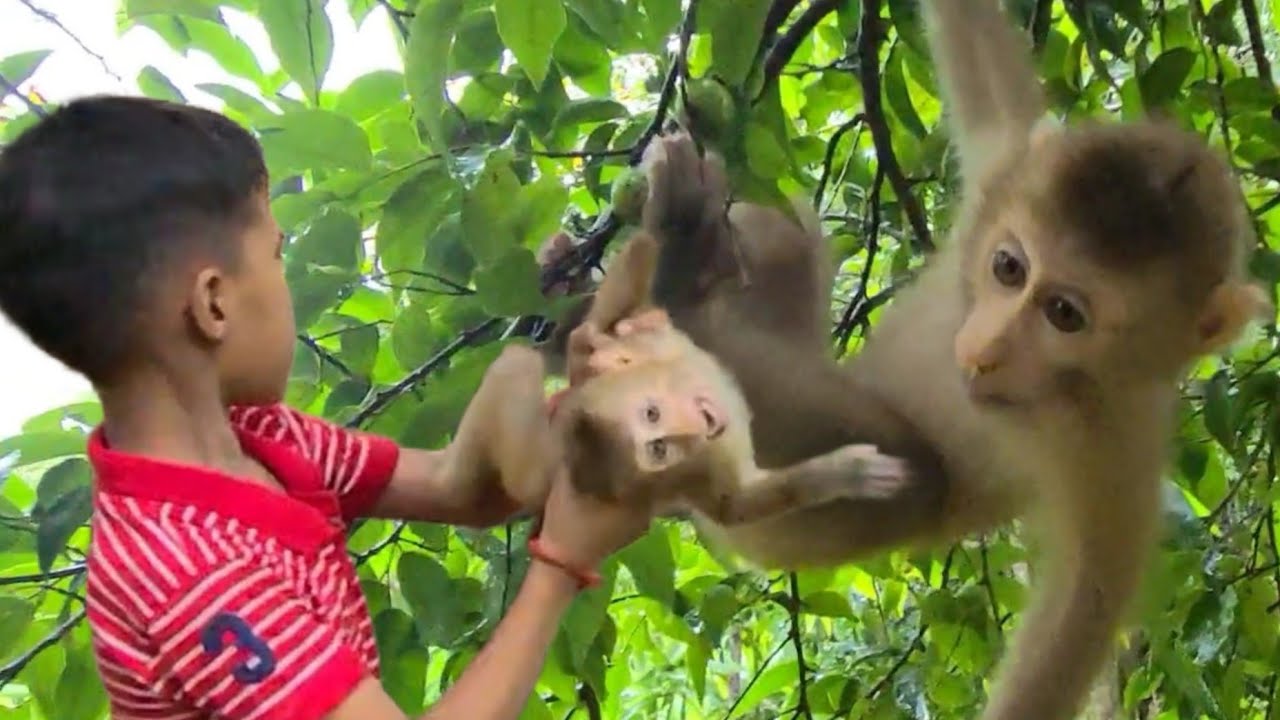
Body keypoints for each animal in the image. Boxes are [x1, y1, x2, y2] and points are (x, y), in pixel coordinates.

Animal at [539, 2, 1273, 718]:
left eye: (1065, 313)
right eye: (1009, 268)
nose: (983, 348)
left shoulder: (1116, 461)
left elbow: (1071, 630)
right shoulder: (1007, 163)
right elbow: (976, 47)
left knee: (906, 479)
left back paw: (678, 278)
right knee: (783, 234)